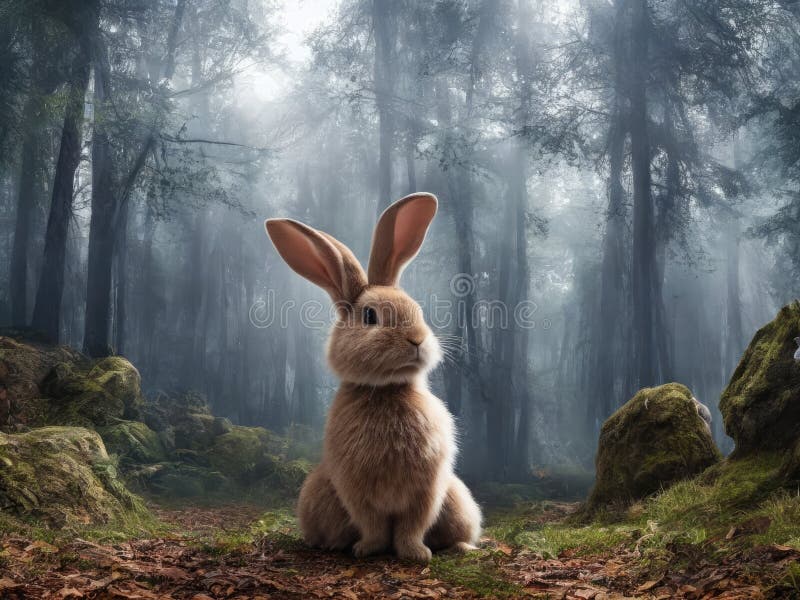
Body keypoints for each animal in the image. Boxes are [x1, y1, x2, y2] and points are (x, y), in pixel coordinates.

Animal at [265, 192, 482, 563]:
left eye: (417, 308)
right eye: (370, 317)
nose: (417, 340)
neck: (387, 389)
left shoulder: (428, 487)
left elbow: (412, 525)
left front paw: (415, 553)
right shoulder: (355, 487)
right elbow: (373, 524)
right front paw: (368, 550)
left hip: (457, 501)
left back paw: (462, 546)